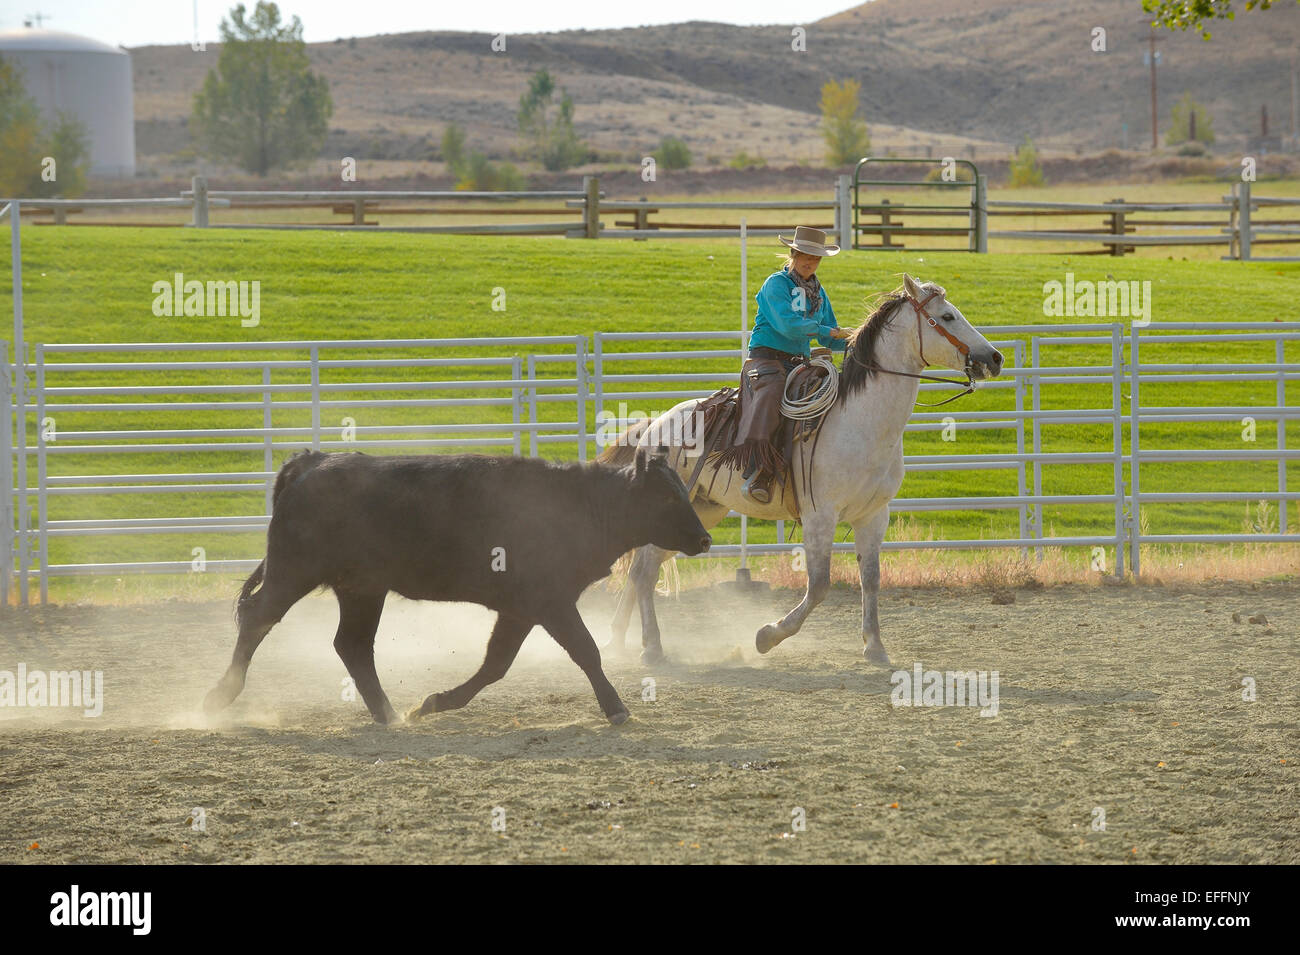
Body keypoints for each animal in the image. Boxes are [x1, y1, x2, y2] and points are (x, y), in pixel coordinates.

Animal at [202, 447, 711, 726]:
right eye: (667, 497)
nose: (705, 538)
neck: (582, 504)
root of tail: (312, 462)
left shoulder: (521, 609)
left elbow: (495, 665)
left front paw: (432, 704)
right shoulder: (550, 601)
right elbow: (586, 651)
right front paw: (616, 708)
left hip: (362, 589)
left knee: (351, 645)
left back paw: (389, 714)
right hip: (294, 570)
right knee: (258, 618)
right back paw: (218, 696)